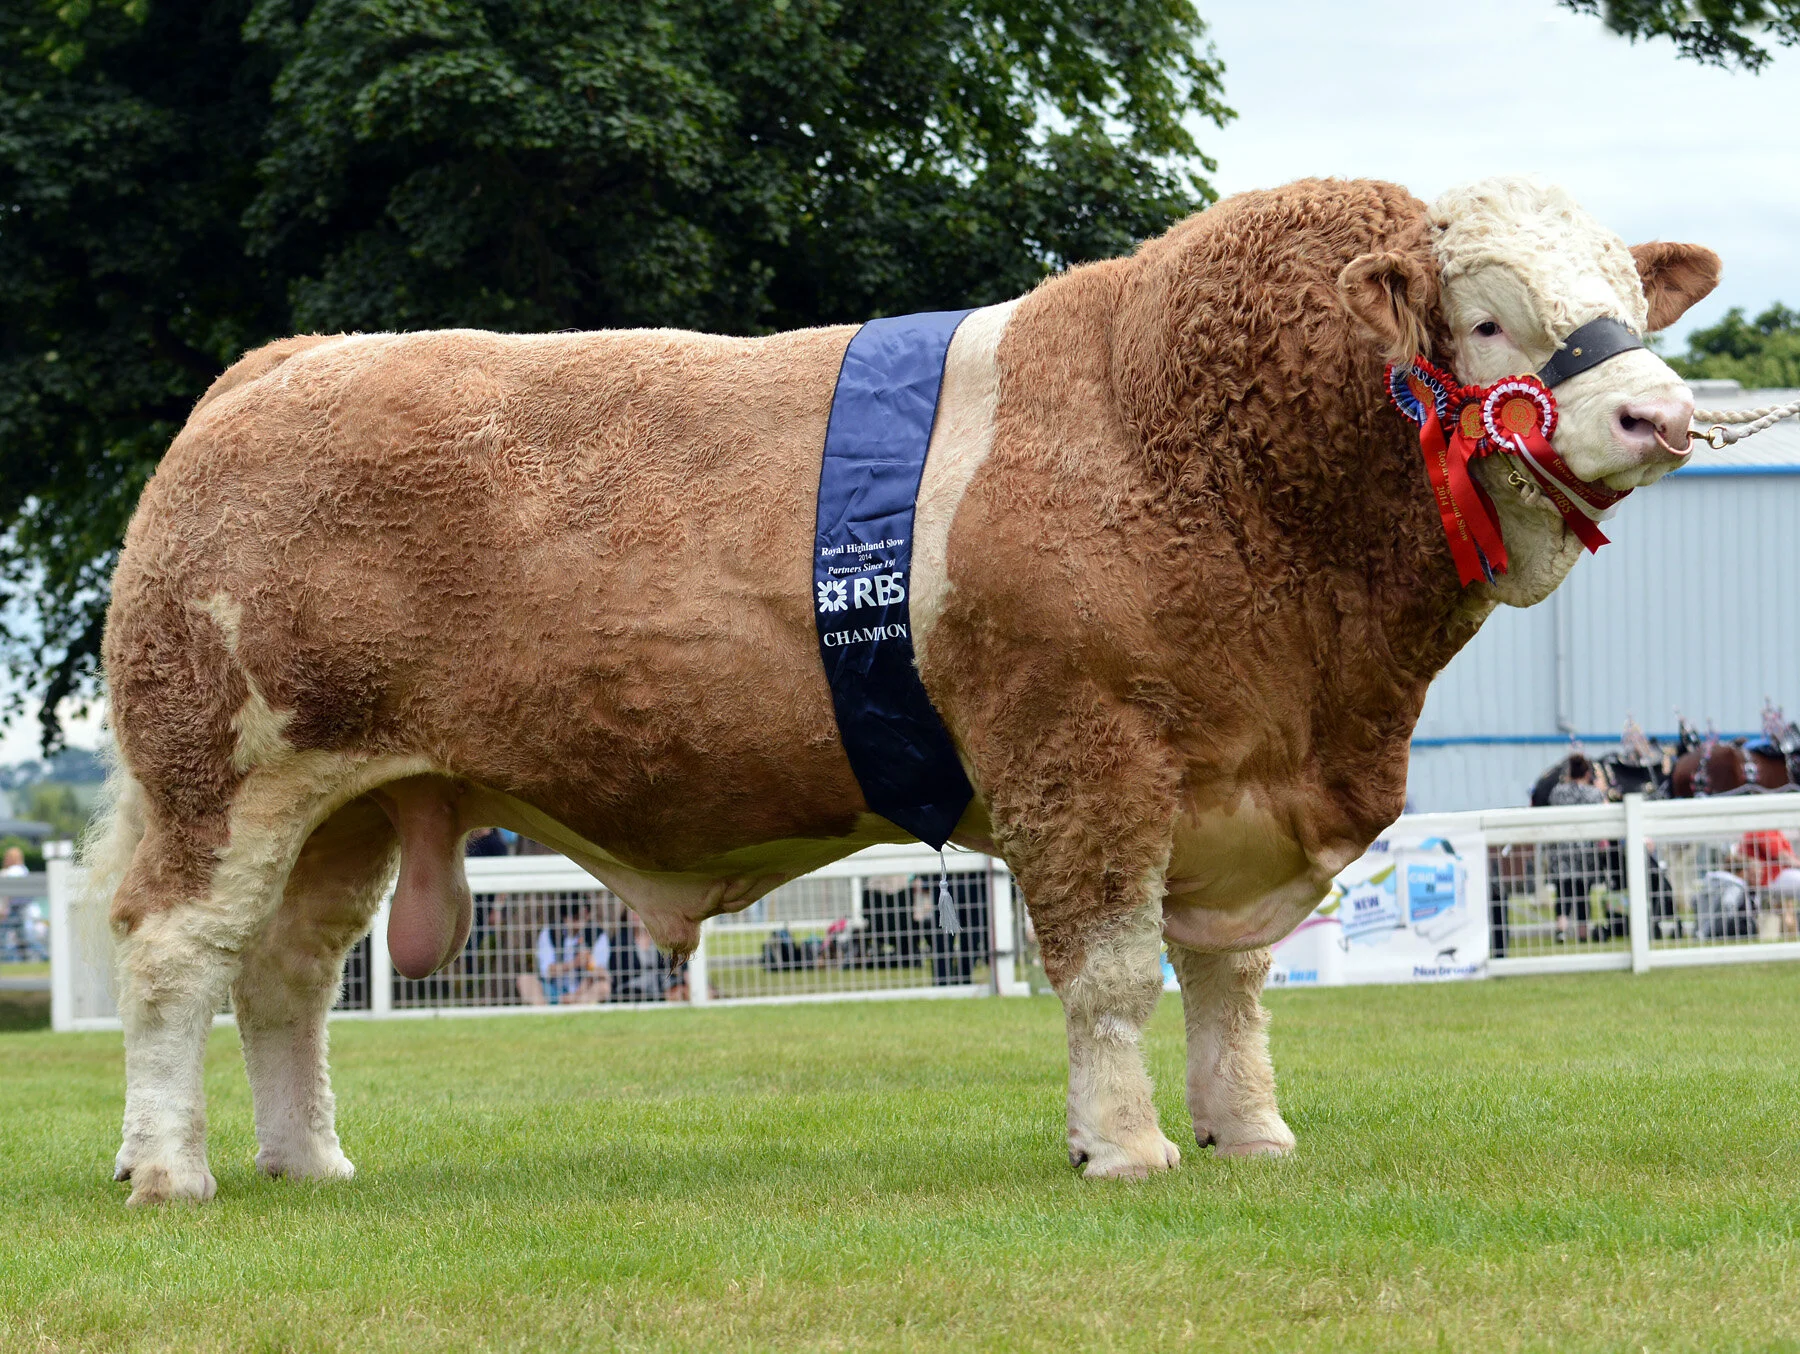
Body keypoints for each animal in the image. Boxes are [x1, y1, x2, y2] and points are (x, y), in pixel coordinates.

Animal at [84, 175, 1717, 1203]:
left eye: (1635, 301)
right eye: (1490, 316)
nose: (1659, 411)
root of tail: (280, 365)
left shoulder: (1238, 782)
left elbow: (1233, 983)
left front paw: (1248, 1131)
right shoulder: (1084, 759)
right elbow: (1112, 973)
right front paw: (1126, 1149)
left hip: (348, 801)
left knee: (286, 978)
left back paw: (308, 1159)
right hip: (222, 774)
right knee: (173, 960)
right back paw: (170, 1168)